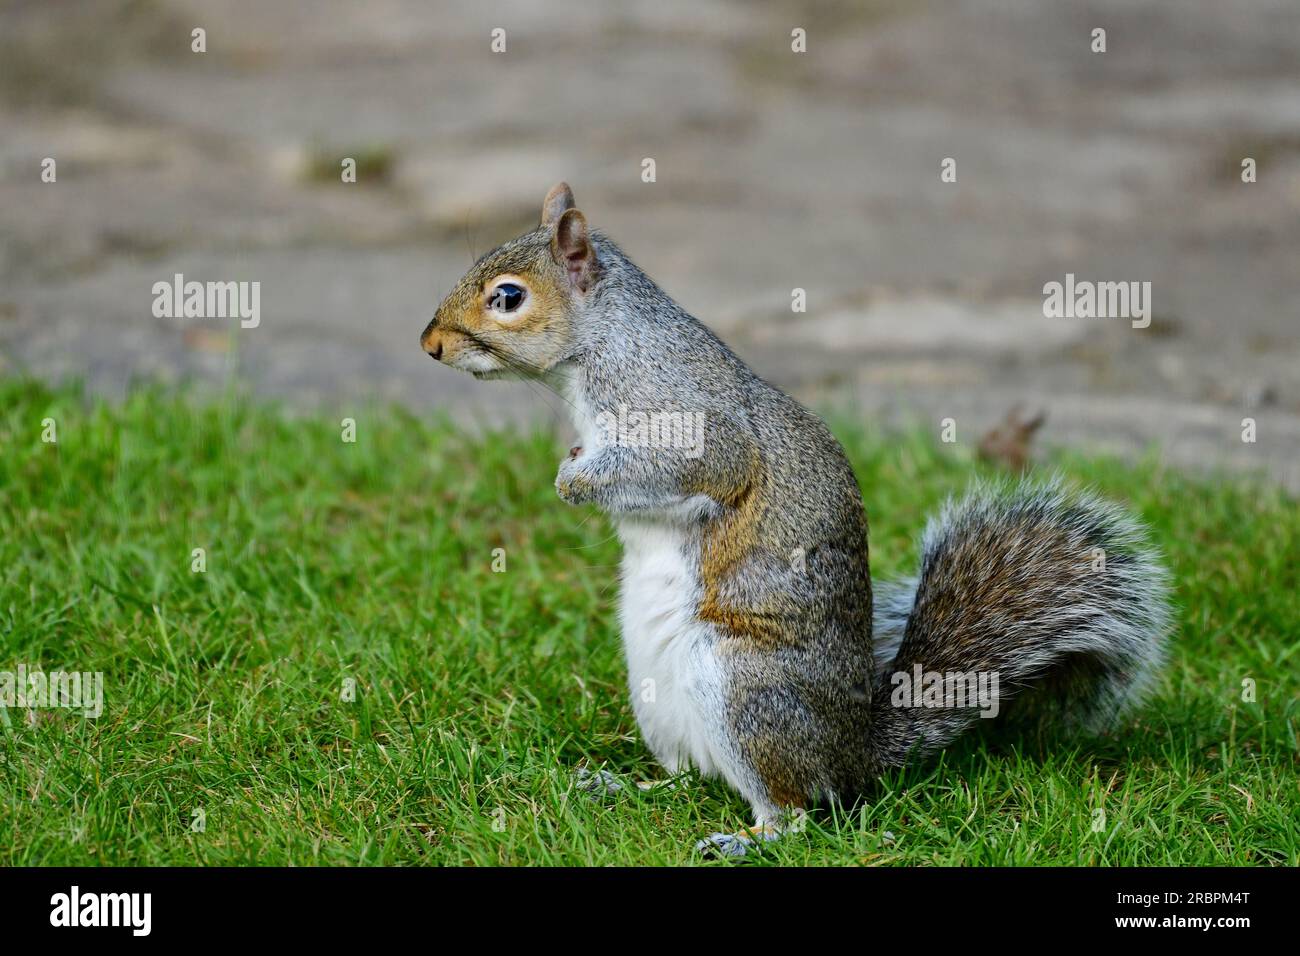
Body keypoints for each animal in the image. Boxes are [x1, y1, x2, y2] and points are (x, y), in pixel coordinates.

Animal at [420, 183, 1173, 857]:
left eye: (508, 297)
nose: (429, 345)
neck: (600, 347)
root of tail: (854, 755)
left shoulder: (688, 421)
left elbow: (697, 467)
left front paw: (573, 480)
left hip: (744, 690)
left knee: (796, 809)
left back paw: (746, 840)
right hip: (661, 701)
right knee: (693, 777)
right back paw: (624, 788)